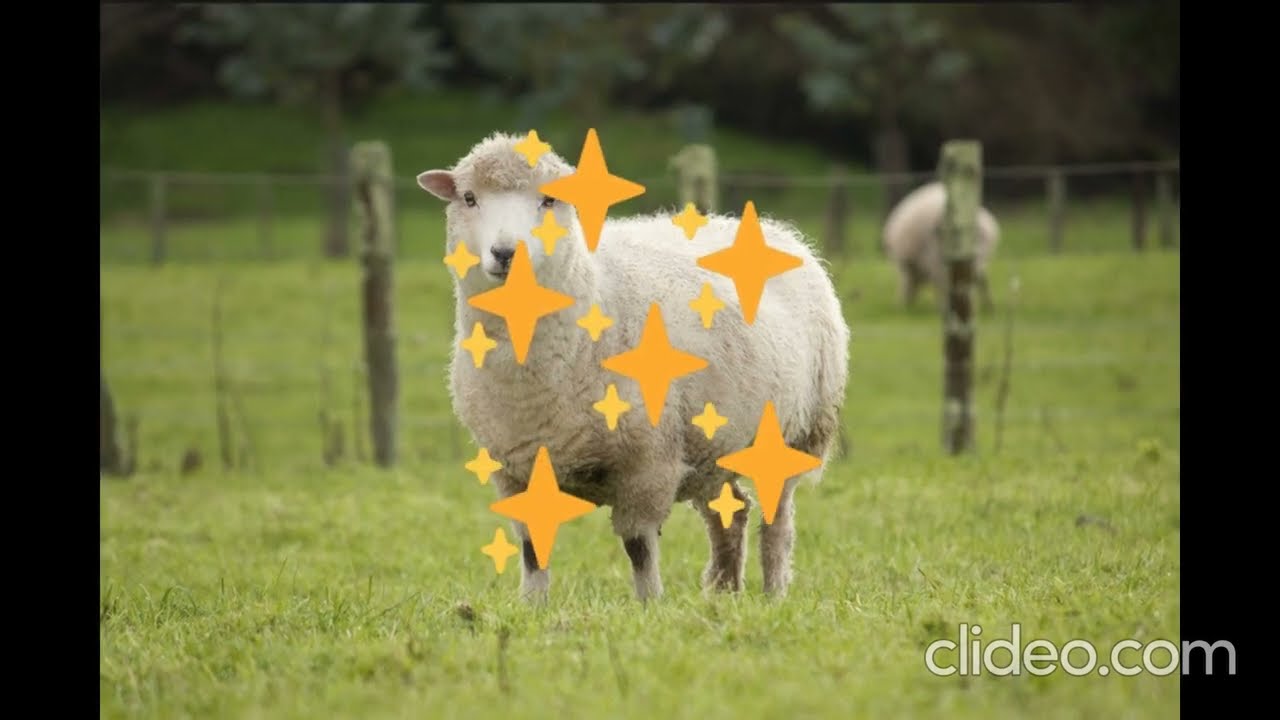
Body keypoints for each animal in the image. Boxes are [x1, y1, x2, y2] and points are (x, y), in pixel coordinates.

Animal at [416, 131, 850, 602]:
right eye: (469, 198)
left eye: (550, 199)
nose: (505, 253)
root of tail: (770, 227)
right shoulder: (516, 469)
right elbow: (533, 550)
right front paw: (532, 606)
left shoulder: (648, 463)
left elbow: (639, 547)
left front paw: (649, 605)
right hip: (712, 441)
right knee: (731, 512)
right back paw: (723, 593)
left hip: (794, 434)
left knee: (778, 523)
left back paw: (772, 594)